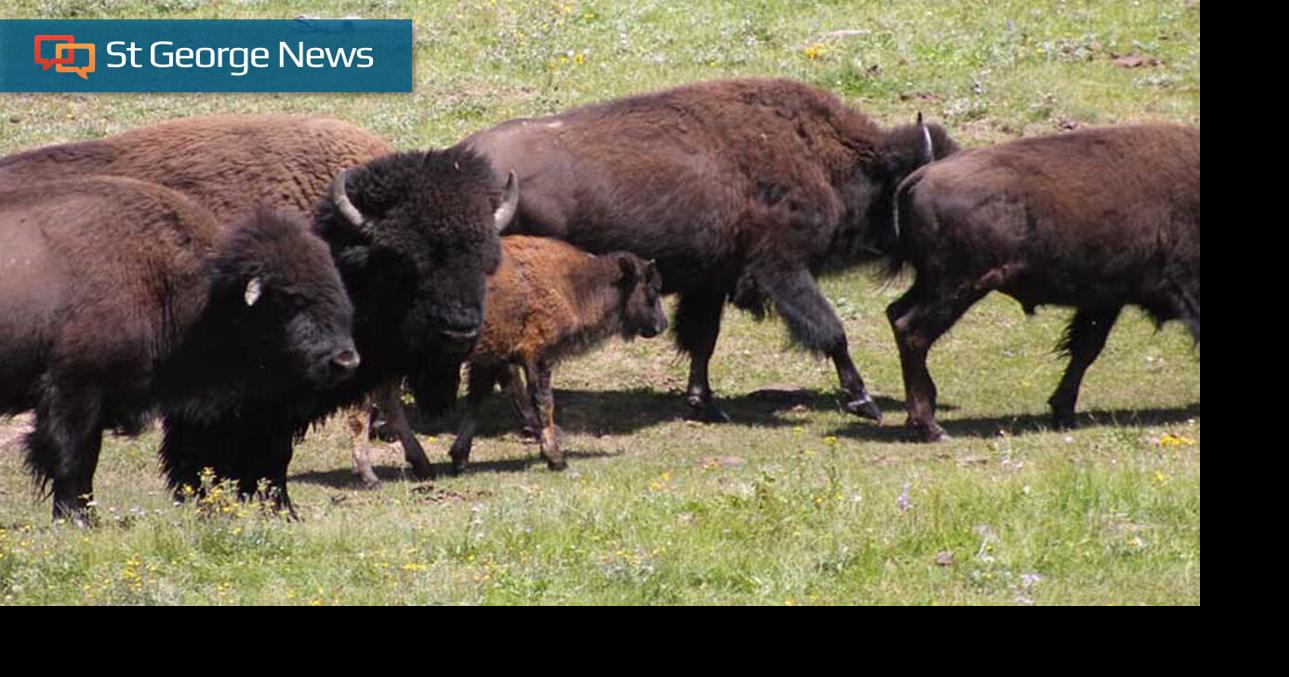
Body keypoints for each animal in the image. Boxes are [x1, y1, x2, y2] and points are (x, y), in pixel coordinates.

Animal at [0, 177, 355, 523]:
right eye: (290, 299)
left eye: (336, 285)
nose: (345, 360)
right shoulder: (75, 387)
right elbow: (74, 455)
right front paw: (78, 519)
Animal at [463, 78, 958, 422]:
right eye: (915, 187)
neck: (820, 155)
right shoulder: (782, 270)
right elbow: (831, 330)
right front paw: (863, 401)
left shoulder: (710, 283)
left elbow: (703, 340)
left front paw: (704, 403)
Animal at [887, 124, 1200, 441]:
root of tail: (921, 175)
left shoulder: (1105, 301)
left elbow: (1085, 349)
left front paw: (1063, 412)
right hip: (959, 286)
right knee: (913, 331)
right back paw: (931, 427)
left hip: (934, 284)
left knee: (897, 315)